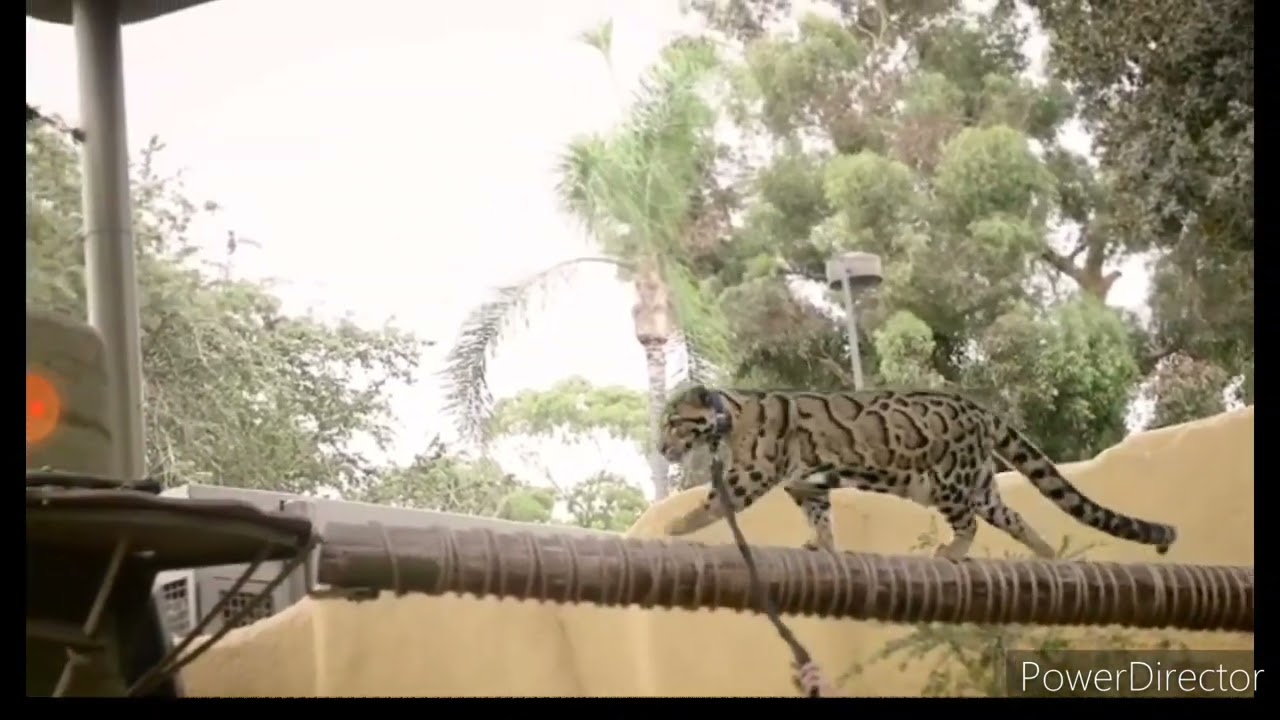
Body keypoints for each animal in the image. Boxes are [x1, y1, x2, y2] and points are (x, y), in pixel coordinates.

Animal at [657, 385, 1177, 561]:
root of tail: (980, 410)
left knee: (968, 524)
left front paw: (676, 525)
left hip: (946, 482)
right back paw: (1048, 554)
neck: (728, 417)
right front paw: (822, 545)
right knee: (1011, 517)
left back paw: (953, 552)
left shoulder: (756, 471)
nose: (661, 448)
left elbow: (713, 503)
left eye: (671, 422)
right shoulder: (806, 485)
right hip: (978, 484)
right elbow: (821, 518)